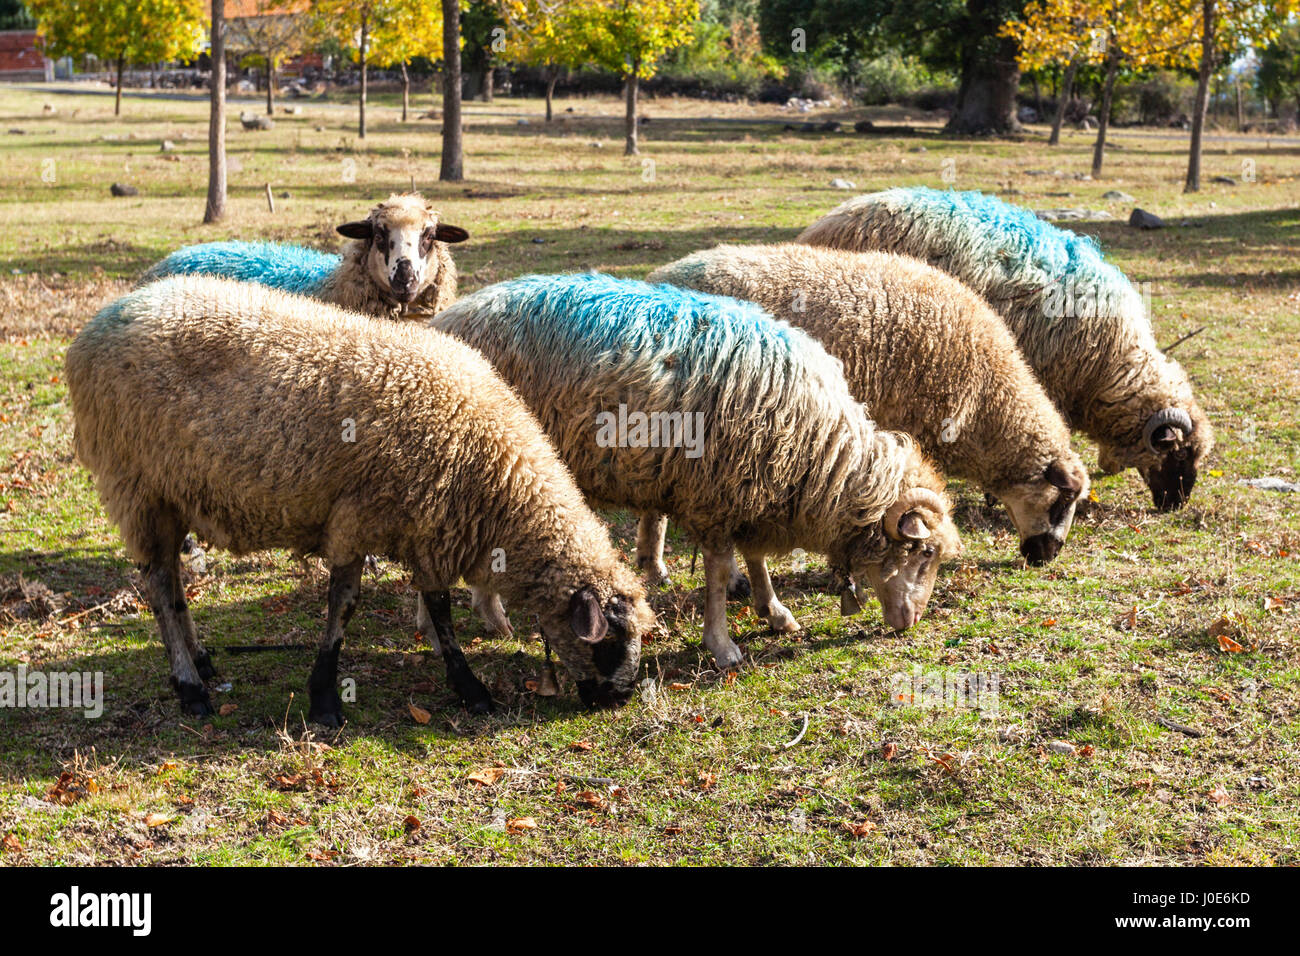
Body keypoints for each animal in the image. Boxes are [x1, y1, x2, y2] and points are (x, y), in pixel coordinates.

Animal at [65, 275, 652, 724]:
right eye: (610, 640)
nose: (620, 699)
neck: (487, 466)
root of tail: (92, 331)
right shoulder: (356, 517)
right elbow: (345, 605)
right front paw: (325, 697)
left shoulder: (428, 524)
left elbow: (438, 608)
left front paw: (468, 686)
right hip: (136, 485)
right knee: (160, 588)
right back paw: (190, 688)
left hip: (174, 492)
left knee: (172, 582)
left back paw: (202, 661)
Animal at [431, 273, 962, 671]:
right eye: (923, 552)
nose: (911, 621)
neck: (821, 452)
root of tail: (449, 318)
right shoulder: (716, 495)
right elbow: (721, 570)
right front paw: (722, 645)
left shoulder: (753, 491)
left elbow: (756, 558)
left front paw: (774, 612)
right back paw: (489, 616)